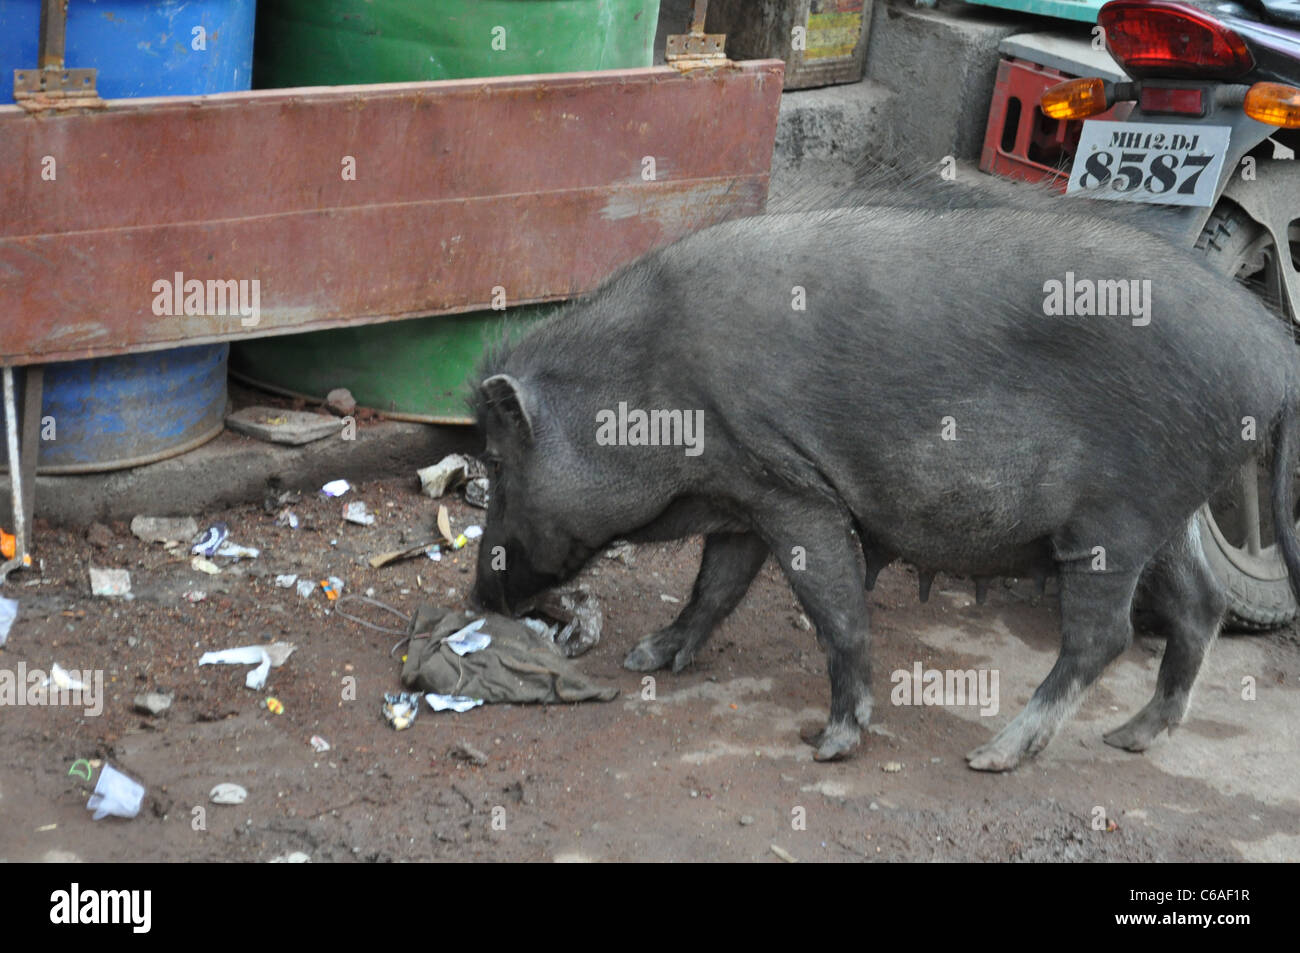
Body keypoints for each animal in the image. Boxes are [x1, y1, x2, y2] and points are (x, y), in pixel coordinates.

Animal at [470, 191, 1300, 771]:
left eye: (497, 462)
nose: (477, 594)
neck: (649, 385)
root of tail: (1274, 354)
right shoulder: (745, 491)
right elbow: (714, 587)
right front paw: (646, 659)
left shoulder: (791, 485)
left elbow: (834, 608)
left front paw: (830, 743)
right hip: (1169, 516)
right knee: (1201, 605)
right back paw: (1131, 738)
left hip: (1113, 522)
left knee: (1106, 636)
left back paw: (993, 755)